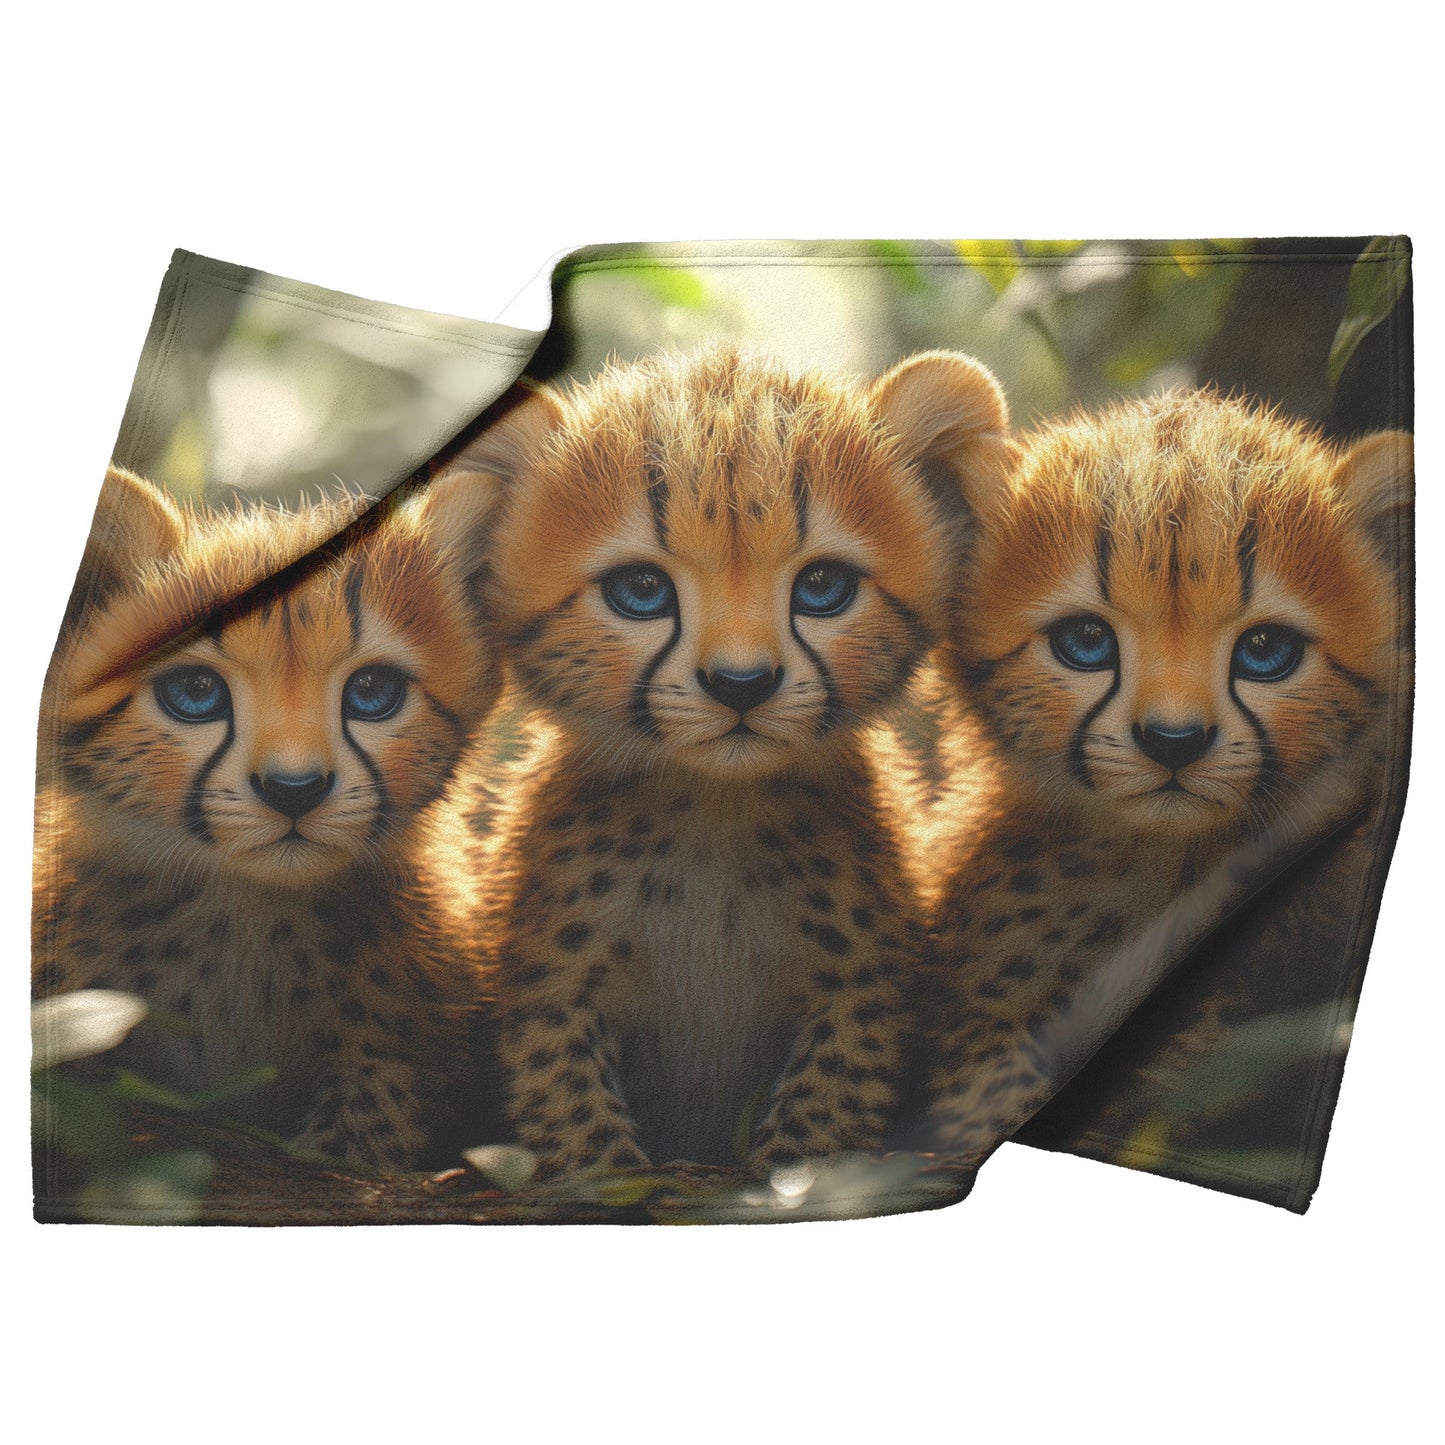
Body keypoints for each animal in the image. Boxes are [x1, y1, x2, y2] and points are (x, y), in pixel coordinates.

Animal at [442, 345, 1013, 1176]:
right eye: (640, 589)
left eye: (823, 585)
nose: (741, 683)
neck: (714, 811)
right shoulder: (550, 992)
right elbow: (579, 1124)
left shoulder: (858, 994)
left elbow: (819, 1121)